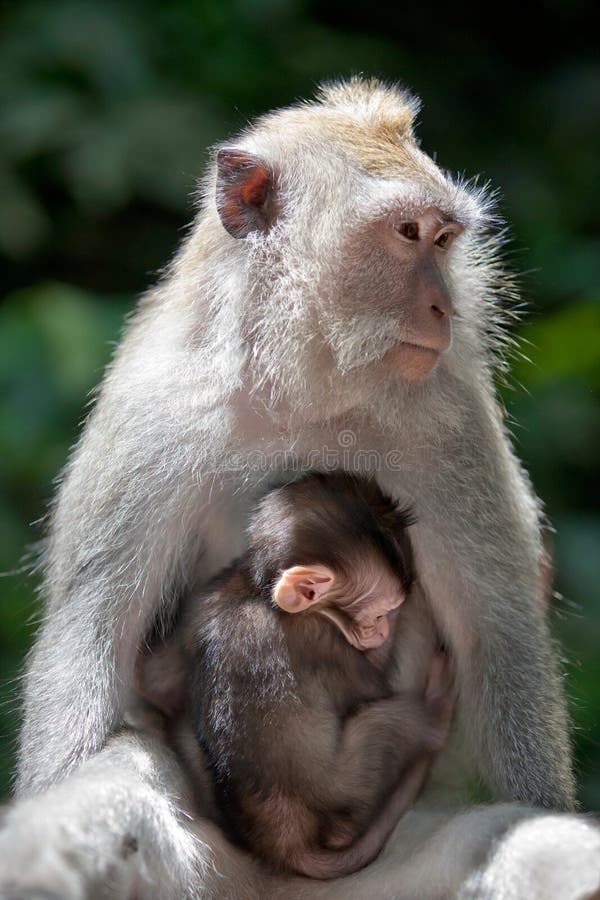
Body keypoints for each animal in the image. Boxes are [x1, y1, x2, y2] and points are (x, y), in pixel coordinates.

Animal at [136, 472, 454, 880]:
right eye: (380, 613)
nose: (383, 628)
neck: (262, 595)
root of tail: (284, 843)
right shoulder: (324, 641)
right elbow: (374, 681)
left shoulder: (208, 595)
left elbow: (156, 678)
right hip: (349, 783)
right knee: (389, 723)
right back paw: (438, 710)